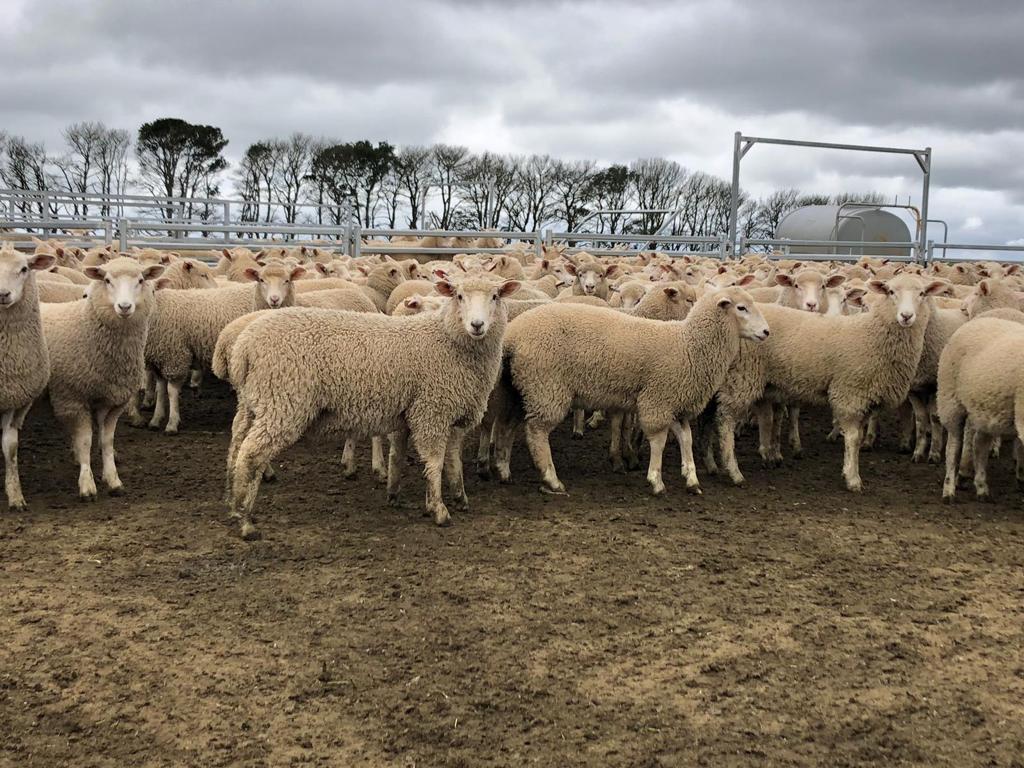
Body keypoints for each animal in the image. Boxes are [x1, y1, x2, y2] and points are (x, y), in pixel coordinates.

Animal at [41, 258, 164, 499]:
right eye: (107, 280)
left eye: (141, 280)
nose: (124, 307)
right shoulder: (73, 397)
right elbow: (86, 441)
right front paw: (87, 484)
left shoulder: (114, 400)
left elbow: (107, 440)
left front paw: (113, 480)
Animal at [224, 274, 521, 539]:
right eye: (459, 296)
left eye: (495, 296)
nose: (477, 325)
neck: (447, 339)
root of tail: (244, 347)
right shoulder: (432, 410)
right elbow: (435, 463)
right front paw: (439, 510)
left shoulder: (437, 412)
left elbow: (439, 459)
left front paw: (443, 496)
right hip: (283, 402)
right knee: (252, 454)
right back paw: (246, 519)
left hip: (255, 402)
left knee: (236, 445)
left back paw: (232, 499)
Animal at [494, 288, 769, 496]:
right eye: (741, 308)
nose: (766, 332)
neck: (689, 344)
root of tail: (512, 336)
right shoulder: (658, 399)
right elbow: (658, 440)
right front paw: (656, 480)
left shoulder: (675, 402)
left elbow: (686, 438)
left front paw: (691, 478)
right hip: (546, 387)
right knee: (537, 432)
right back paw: (551, 479)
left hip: (519, 390)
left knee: (508, 426)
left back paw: (503, 469)